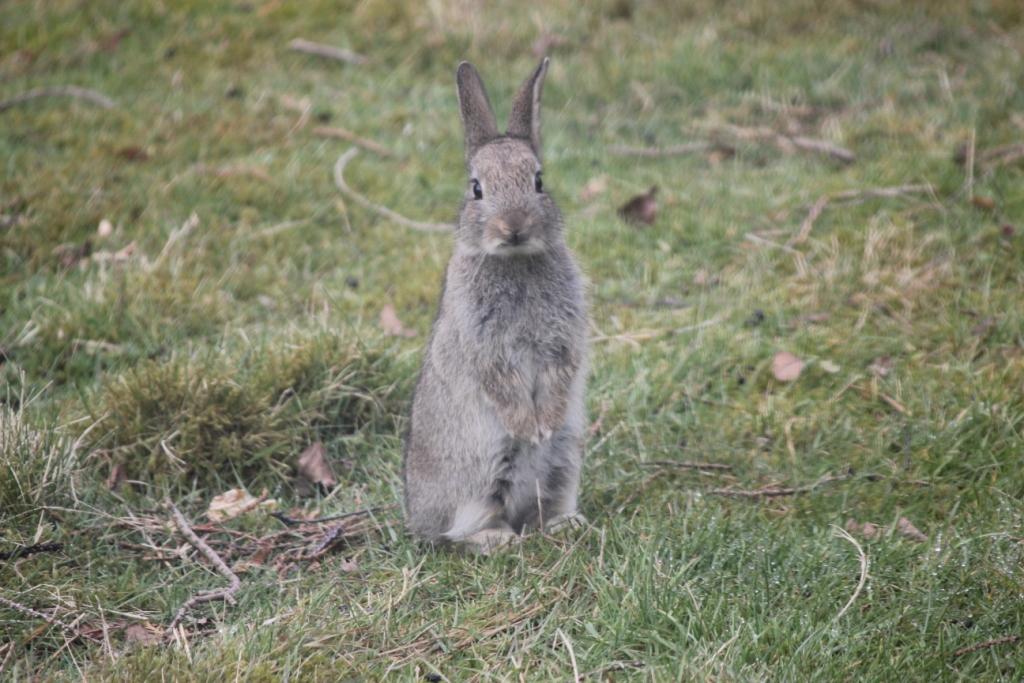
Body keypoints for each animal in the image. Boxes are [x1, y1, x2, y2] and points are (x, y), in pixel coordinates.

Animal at [403, 58, 589, 553]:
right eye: (477, 189)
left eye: (539, 181)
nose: (514, 226)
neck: (515, 261)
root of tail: (415, 520)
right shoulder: (486, 345)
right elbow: (502, 384)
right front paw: (530, 428)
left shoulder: (563, 341)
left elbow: (559, 376)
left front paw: (544, 423)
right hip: (479, 474)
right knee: (458, 533)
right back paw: (499, 539)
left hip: (565, 463)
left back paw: (565, 525)